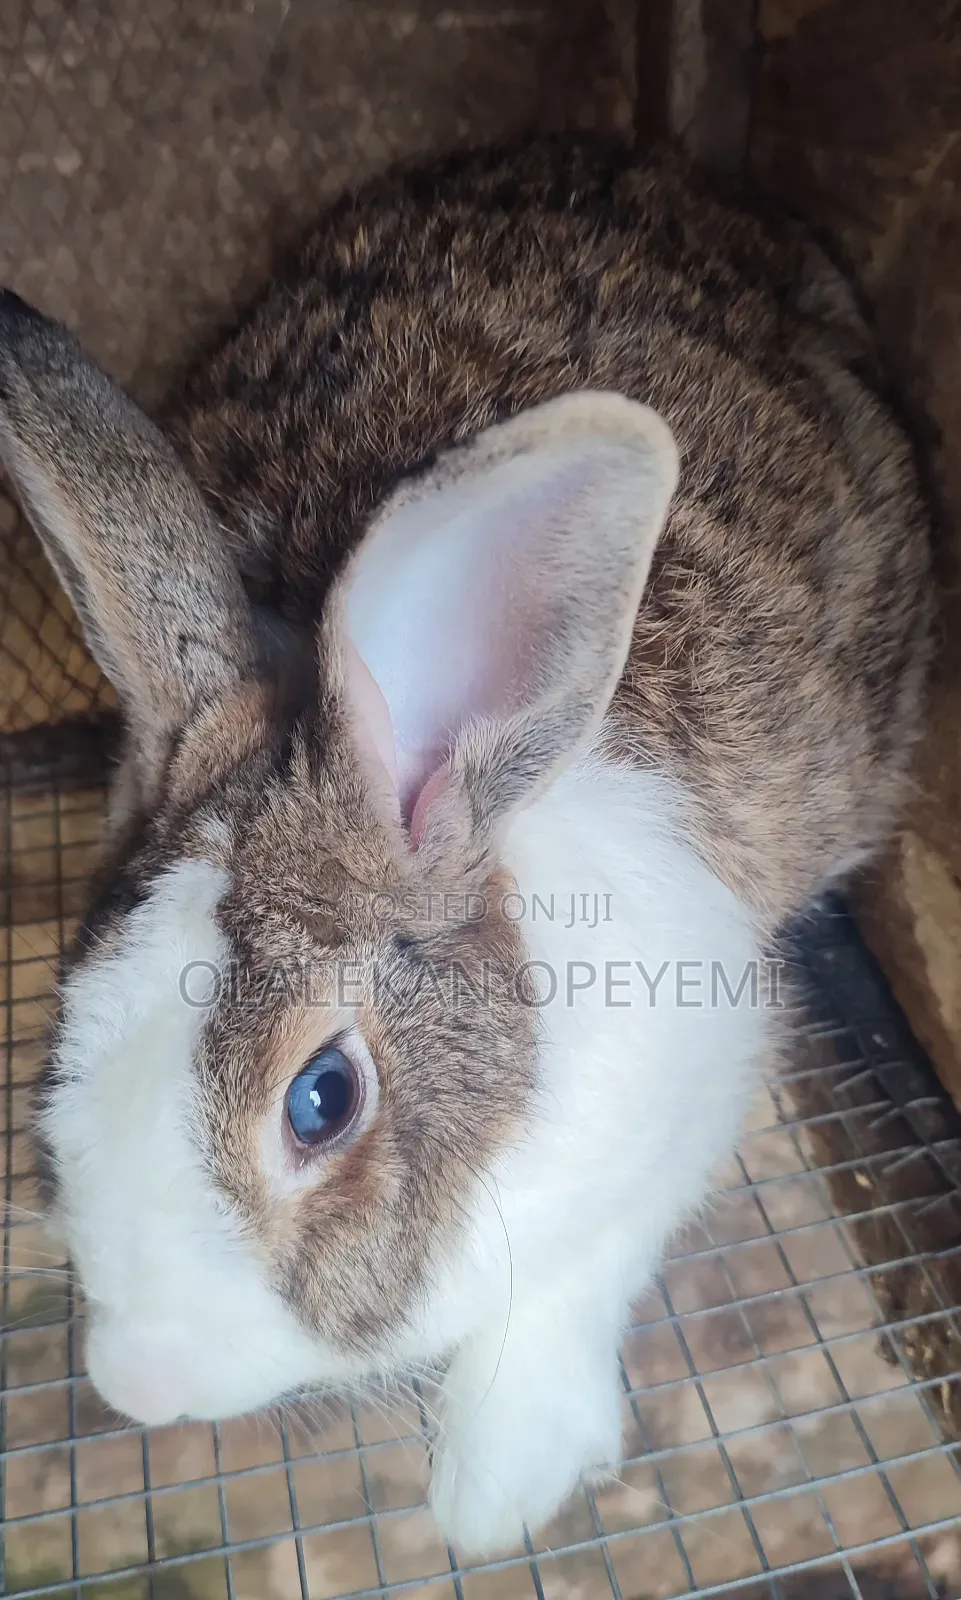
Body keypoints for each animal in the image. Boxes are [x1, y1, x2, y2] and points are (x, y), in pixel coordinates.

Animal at [0, 134, 933, 1557]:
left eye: (322, 1098)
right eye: (67, 1011)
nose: (143, 1380)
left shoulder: (685, 1099)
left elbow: (569, 1283)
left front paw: (496, 1490)